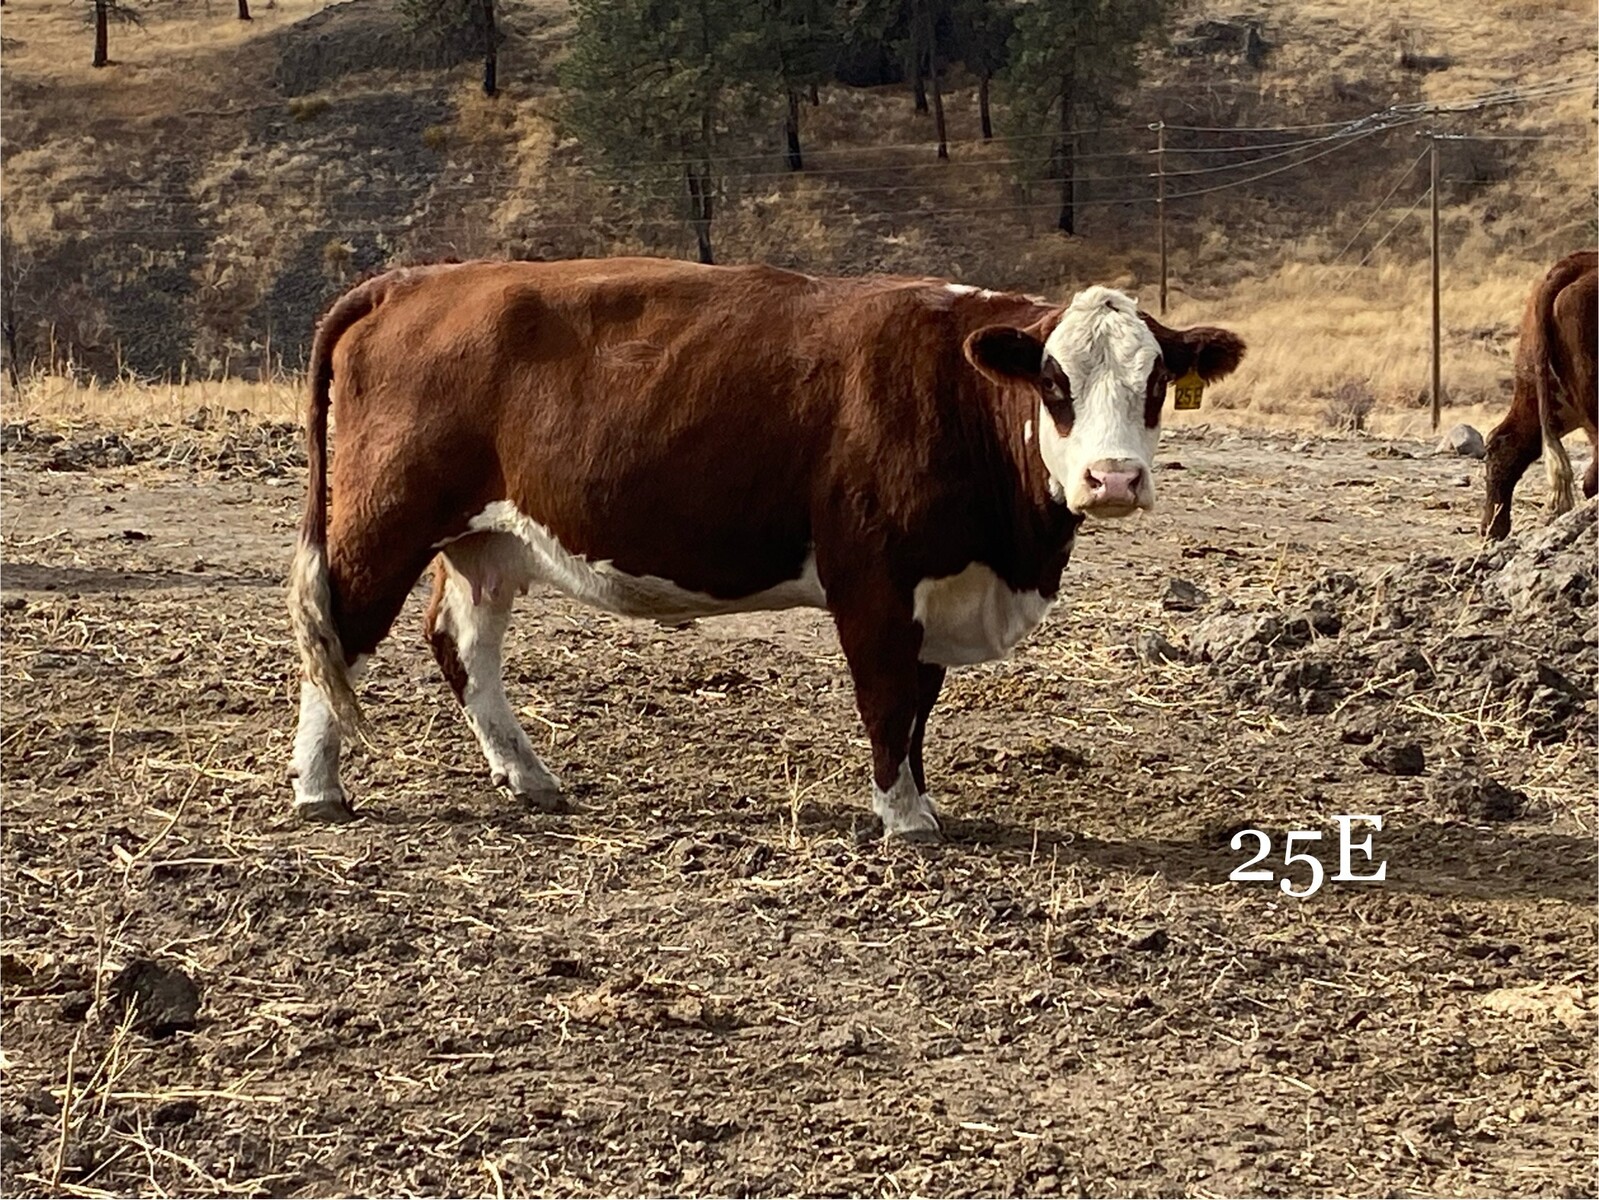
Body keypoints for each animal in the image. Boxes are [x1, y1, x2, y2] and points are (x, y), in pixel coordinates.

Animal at [287, 258, 1245, 838]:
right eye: (1053, 380)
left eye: (1157, 380)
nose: (1112, 479)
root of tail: (415, 280)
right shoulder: (874, 582)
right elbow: (888, 700)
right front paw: (902, 819)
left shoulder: (937, 588)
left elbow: (920, 703)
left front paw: (922, 802)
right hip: (383, 521)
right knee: (340, 637)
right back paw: (318, 788)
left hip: (485, 538)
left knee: (462, 645)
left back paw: (528, 776)